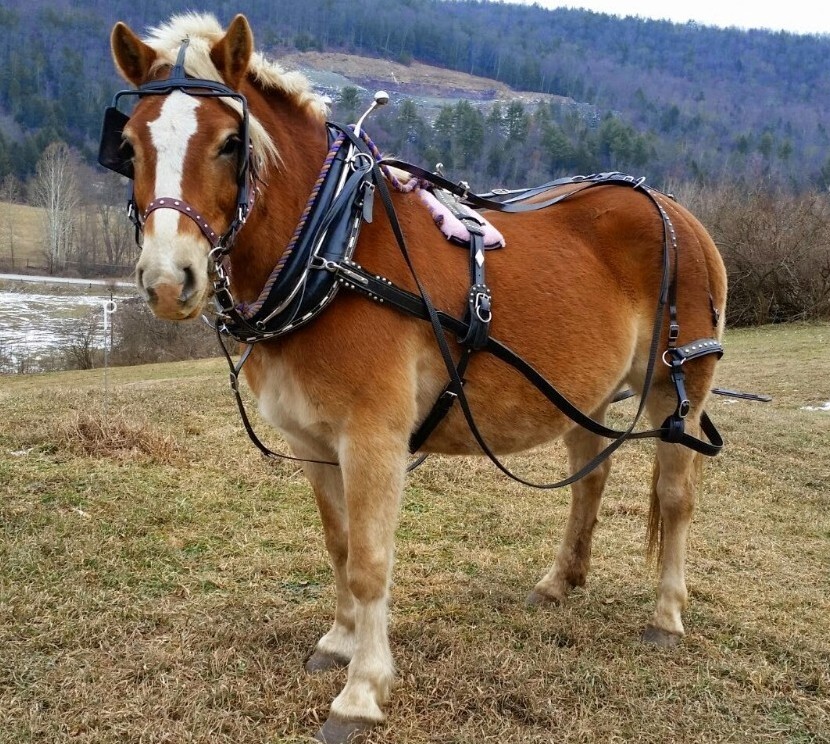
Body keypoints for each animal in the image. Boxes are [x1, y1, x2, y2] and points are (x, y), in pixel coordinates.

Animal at [101, 13, 727, 742]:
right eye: (130, 147)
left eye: (231, 143)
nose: (168, 281)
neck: (333, 248)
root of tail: (676, 211)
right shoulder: (314, 442)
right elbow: (340, 546)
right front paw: (340, 641)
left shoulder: (373, 437)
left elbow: (371, 561)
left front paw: (362, 689)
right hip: (584, 393)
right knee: (589, 475)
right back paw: (560, 580)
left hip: (677, 387)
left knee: (677, 496)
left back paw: (666, 614)